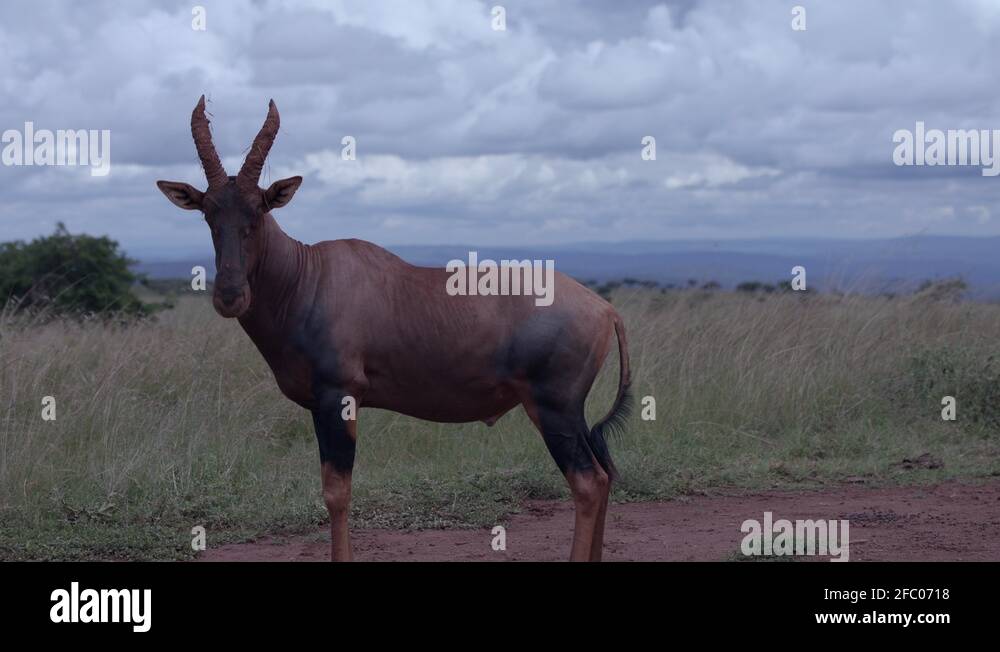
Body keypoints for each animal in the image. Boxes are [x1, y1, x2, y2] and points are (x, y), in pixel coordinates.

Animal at [156, 97, 632, 561]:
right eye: (208, 212)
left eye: (258, 210)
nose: (230, 295)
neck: (309, 276)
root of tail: (606, 308)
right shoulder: (319, 406)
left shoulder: (339, 397)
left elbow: (337, 492)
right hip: (572, 411)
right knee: (605, 474)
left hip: (553, 408)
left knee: (588, 482)